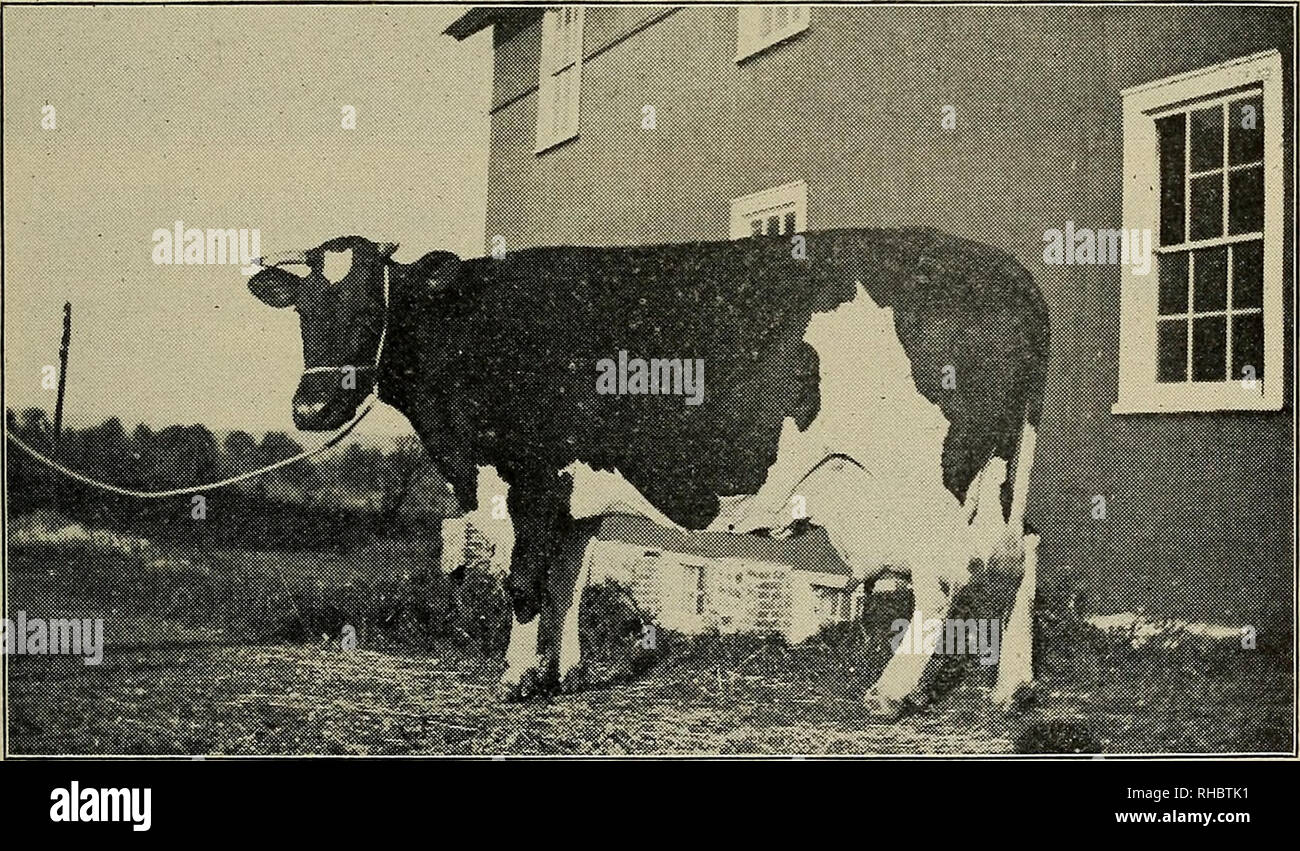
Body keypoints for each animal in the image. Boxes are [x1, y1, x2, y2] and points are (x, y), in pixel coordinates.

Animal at [248, 229, 1049, 719]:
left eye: (370, 304)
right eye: (305, 310)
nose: (311, 406)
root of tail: (1008, 272)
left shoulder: (531, 476)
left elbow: (525, 582)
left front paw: (515, 678)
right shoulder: (575, 495)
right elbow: (570, 582)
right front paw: (564, 674)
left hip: (931, 474)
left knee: (945, 573)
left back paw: (890, 689)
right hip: (1000, 472)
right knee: (1020, 555)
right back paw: (1012, 686)